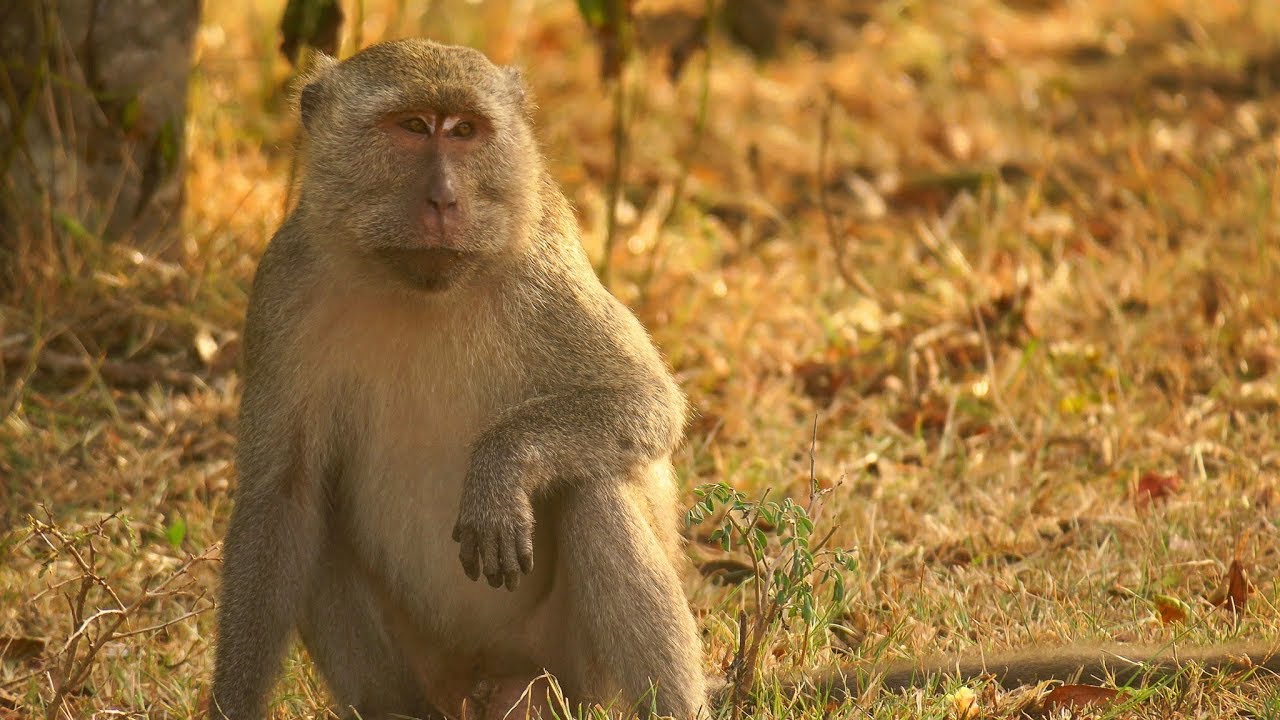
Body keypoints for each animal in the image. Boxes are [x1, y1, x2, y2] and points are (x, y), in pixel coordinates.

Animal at [210, 38, 1279, 720]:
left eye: (465, 132)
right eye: (408, 128)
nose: (443, 199)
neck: (422, 279)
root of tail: (497, 696)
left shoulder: (540, 259)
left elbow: (644, 407)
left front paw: (499, 470)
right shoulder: (286, 286)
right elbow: (278, 495)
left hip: (571, 677)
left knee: (590, 487)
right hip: (440, 674)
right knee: (312, 526)